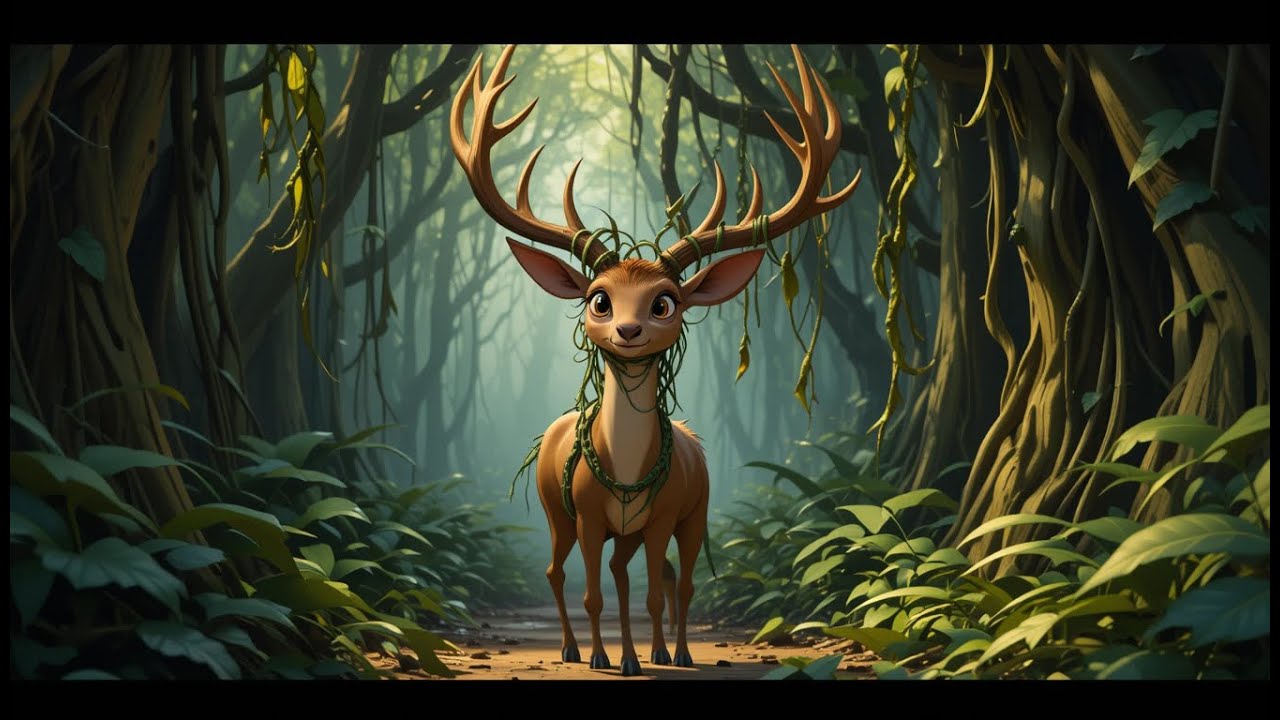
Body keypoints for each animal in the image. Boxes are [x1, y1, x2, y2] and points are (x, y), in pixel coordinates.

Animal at [450, 44, 860, 676]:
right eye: (598, 298)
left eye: (665, 301)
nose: (628, 329)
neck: (625, 471)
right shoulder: (588, 515)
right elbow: (592, 592)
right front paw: (600, 656)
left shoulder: (669, 515)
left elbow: (658, 588)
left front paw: (657, 654)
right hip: (556, 513)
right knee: (561, 571)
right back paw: (576, 648)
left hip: (684, 518)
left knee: (664, 578)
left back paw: (666, 651)